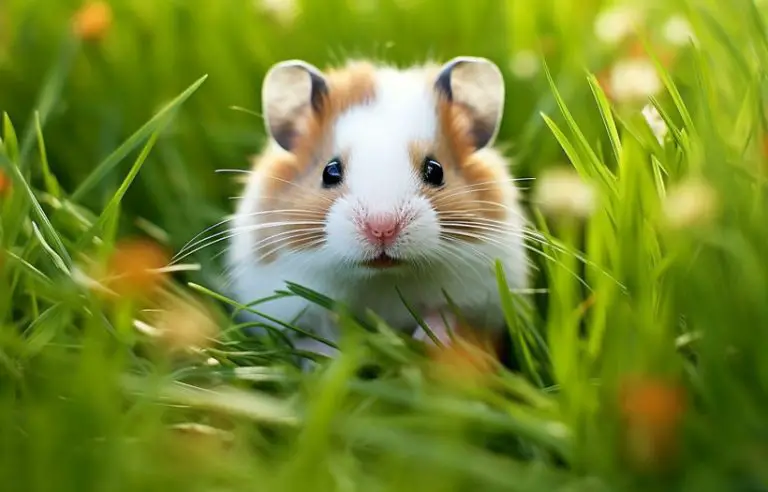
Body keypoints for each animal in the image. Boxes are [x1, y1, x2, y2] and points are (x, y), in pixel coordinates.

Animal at [224, 56, 531, 365]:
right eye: (330, 172)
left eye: (435, 170)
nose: (382, 228)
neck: (383, 278)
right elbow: (313, 334)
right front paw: (325, 360)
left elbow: (447, 317)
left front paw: (433, 342)